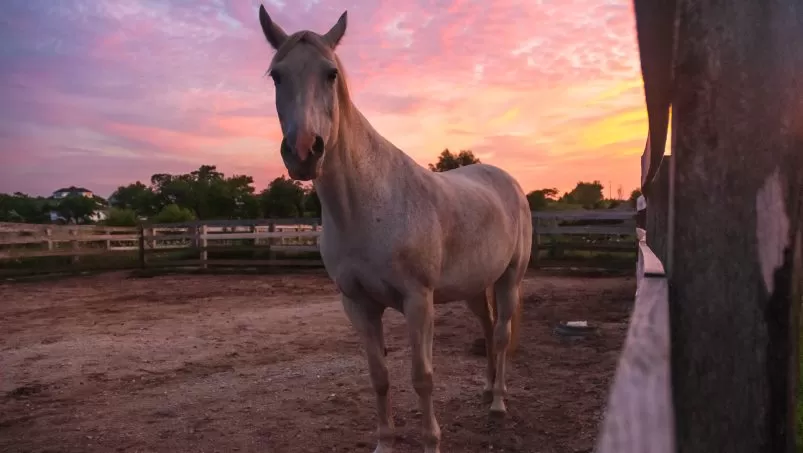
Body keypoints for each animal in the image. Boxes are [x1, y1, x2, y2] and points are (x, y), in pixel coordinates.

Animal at [258, 5, 532, 450]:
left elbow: (422, 377)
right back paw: (488, 390)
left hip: (510, 279)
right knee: (488, 328)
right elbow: (379, 376)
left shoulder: (417, 301)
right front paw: (385, 441)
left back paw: (498, 403)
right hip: (474, 286)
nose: (303, 151)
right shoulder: (358, 304)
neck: (365, 207)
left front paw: (431, 441)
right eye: (276, 75)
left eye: (330, 73)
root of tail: (507, 181)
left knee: (502, 334)